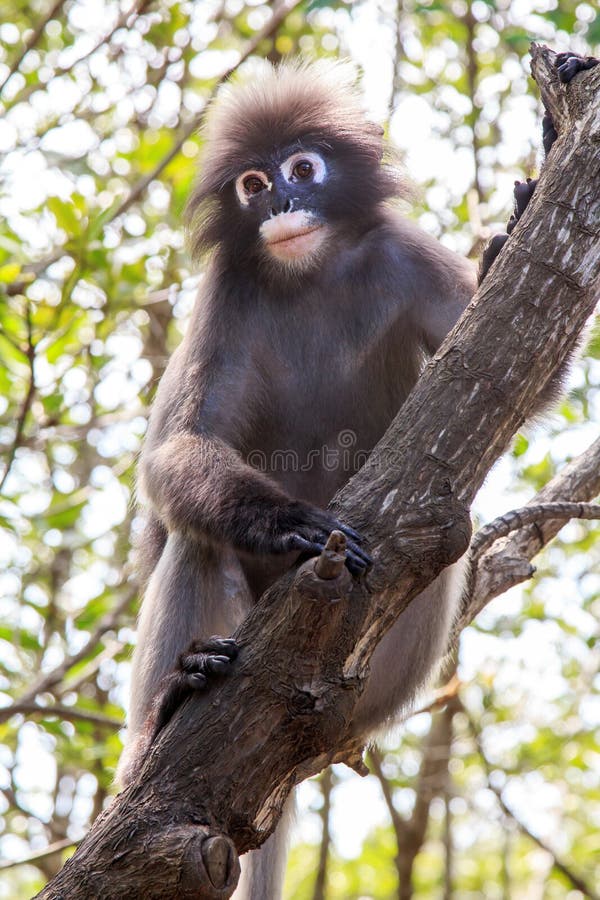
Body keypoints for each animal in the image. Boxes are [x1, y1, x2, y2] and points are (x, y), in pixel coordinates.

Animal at [117, 53, 596, 899]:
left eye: (303, 168)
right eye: (252, 183)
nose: (280, 200)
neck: (311, 271)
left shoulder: (402, 253)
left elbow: (528, 383)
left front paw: (543, 157)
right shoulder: (226, 294)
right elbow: (176, 455)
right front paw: (291, 523)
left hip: (383, 670)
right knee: (195, 536)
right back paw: (172, 703)